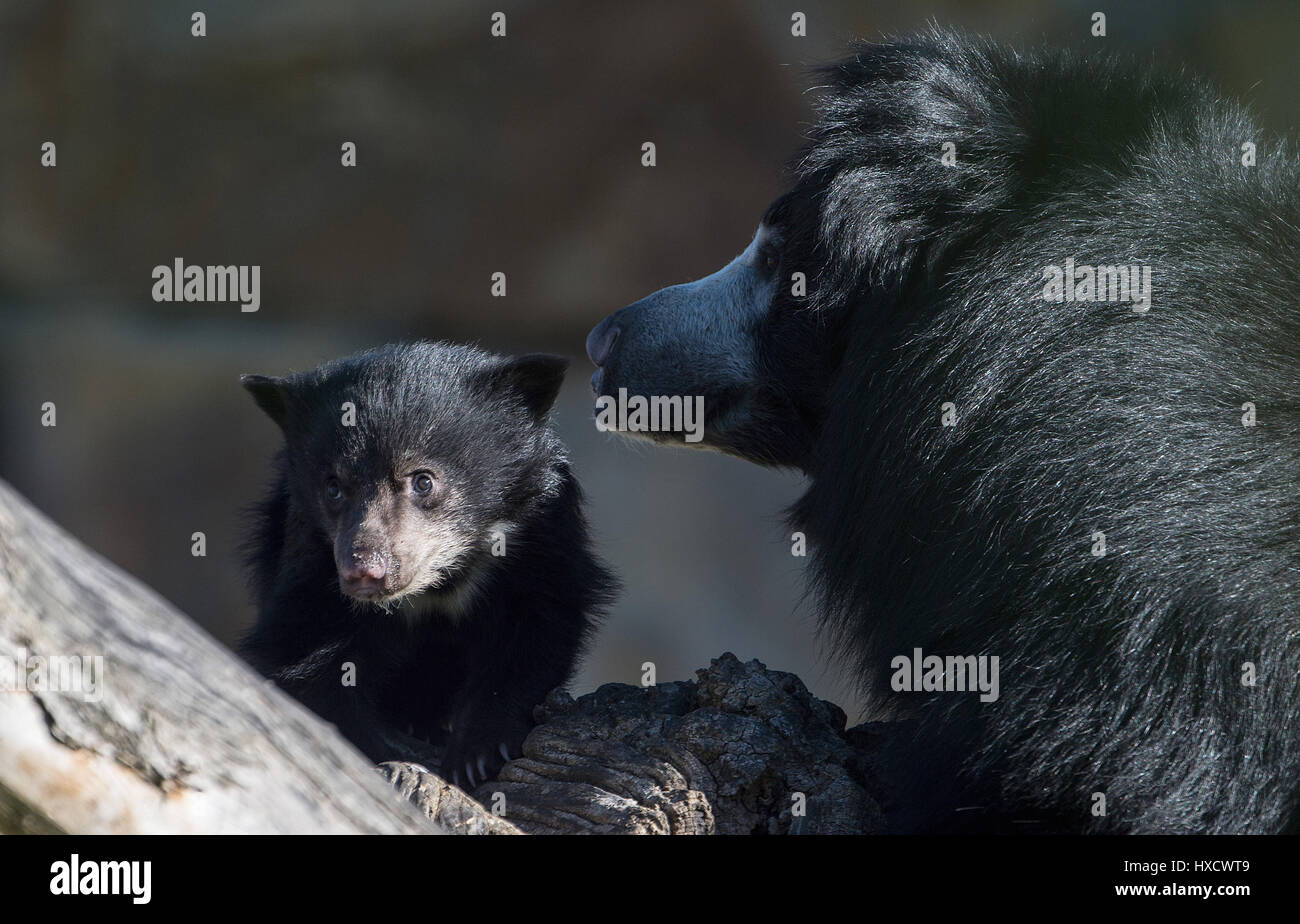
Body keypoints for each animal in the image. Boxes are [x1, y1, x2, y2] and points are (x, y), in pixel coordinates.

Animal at [240, 341, 616, 788]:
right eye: (333, 487)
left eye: (423, 480)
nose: (363, 572)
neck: (440, 581)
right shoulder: (310, 556)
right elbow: (302, 646)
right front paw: (371, 752)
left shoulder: (540, 539)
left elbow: (536, 627)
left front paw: (478, 755)